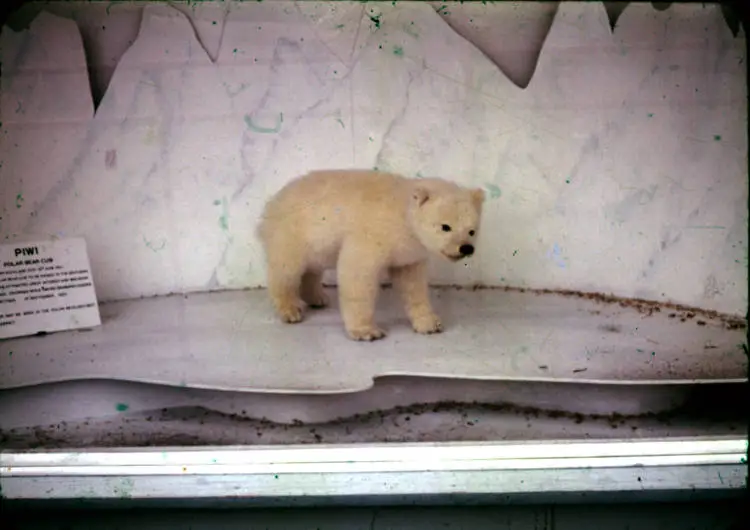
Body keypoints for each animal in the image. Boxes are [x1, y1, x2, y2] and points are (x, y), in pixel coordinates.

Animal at [256, 169, 485, 341]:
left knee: (313, 267)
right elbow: (357, 274)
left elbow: (412, 284)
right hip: (293, 231)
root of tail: (271, 204)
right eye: (445, 227)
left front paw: (429, 323)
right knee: (286, 269)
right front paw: (367, 331)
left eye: (472, 230)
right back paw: (290, 309)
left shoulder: (408, 251)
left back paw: (317, 298)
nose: (466, 248)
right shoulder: (372, 234)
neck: (401, 211)